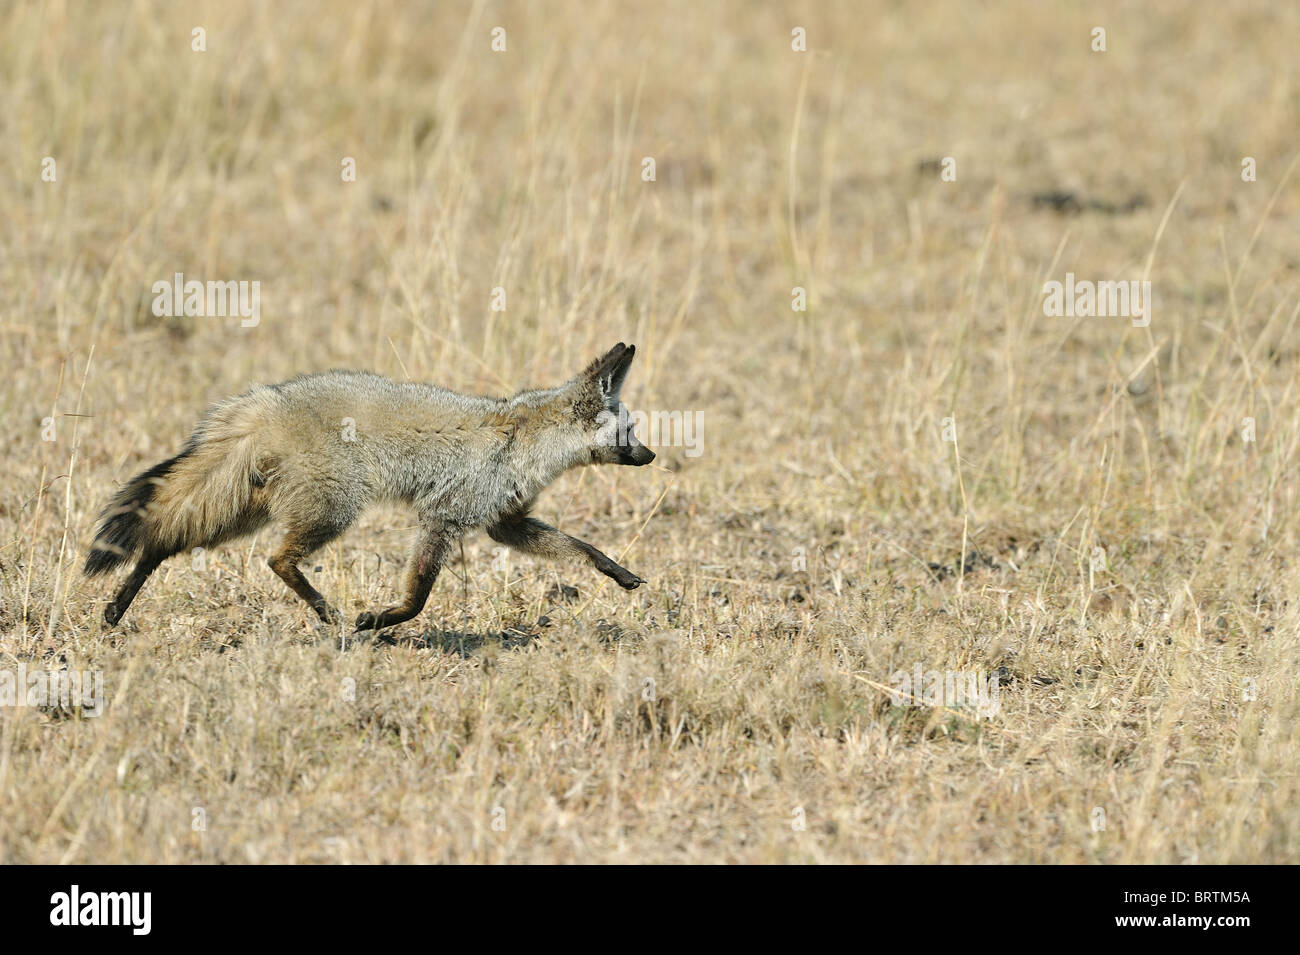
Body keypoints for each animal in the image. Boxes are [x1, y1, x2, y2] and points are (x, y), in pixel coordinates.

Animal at [84, 343, 655, 632]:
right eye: (630, 431)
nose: (651, 456)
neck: (527, 437)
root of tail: (268, 399)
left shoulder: (505, 523)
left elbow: (578, 547)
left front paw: (616, 571)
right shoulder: (445, 515)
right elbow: (420, 594)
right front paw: (383, 619)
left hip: (245, 510)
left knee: (162, 540)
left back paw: (117, 608)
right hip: (332, 508)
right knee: (276, 560)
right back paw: (327, 613)